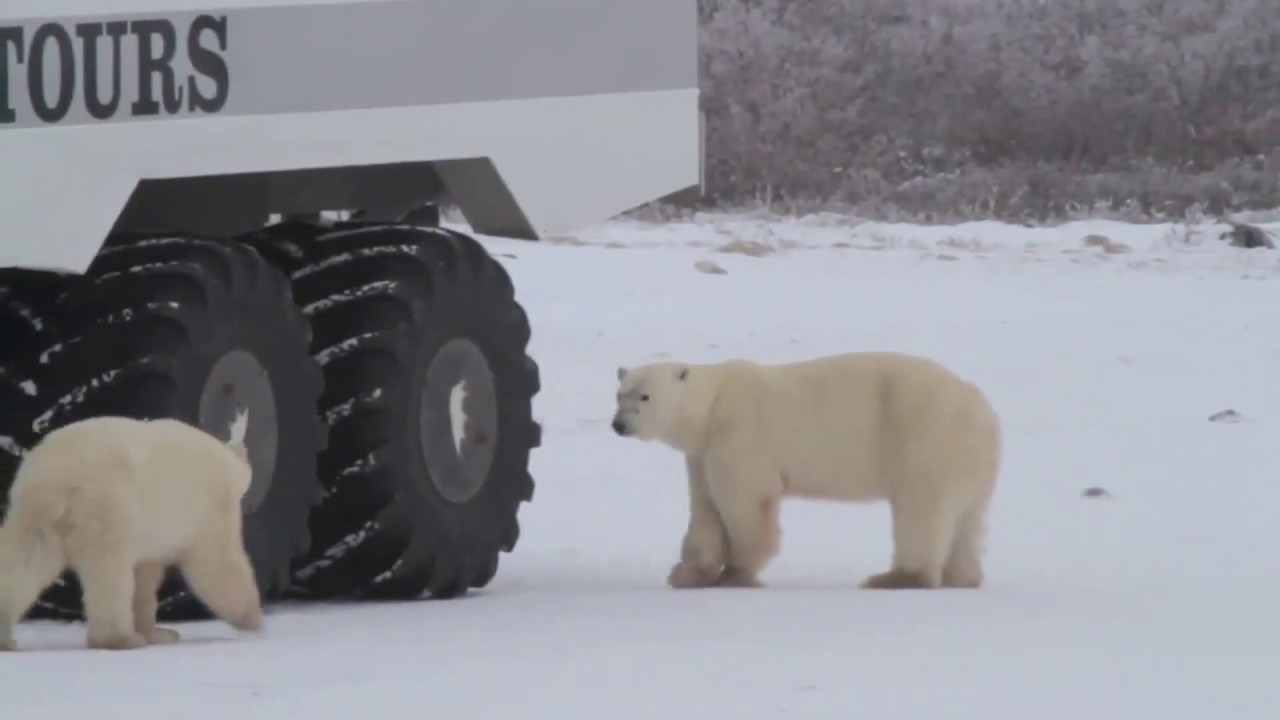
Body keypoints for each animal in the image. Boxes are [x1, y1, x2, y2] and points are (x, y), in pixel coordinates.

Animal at [0, 410, 264, 651]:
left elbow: (146, 576)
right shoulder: (211, 508)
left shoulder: (151, 534)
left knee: (25, 560)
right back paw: (121, 639)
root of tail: (57, 477)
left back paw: (6, 638)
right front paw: (253, 621)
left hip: (36, 516)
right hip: (108, 504)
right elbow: (219, 564)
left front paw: (158, 632)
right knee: (110, 572)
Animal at [611, 351, 1002, 591]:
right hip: (970, 460)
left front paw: (736, 574)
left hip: (925, 436)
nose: (618, 425)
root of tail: (984, 410)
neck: (712, 406)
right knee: (969, 518)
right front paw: (686, 574)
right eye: (619, 394)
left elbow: (746, 506)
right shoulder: (701, 454)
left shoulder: (737, 437)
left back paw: (894, 578)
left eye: (644, 396)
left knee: (921, 509)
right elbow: (704, 509)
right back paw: (962, 577)